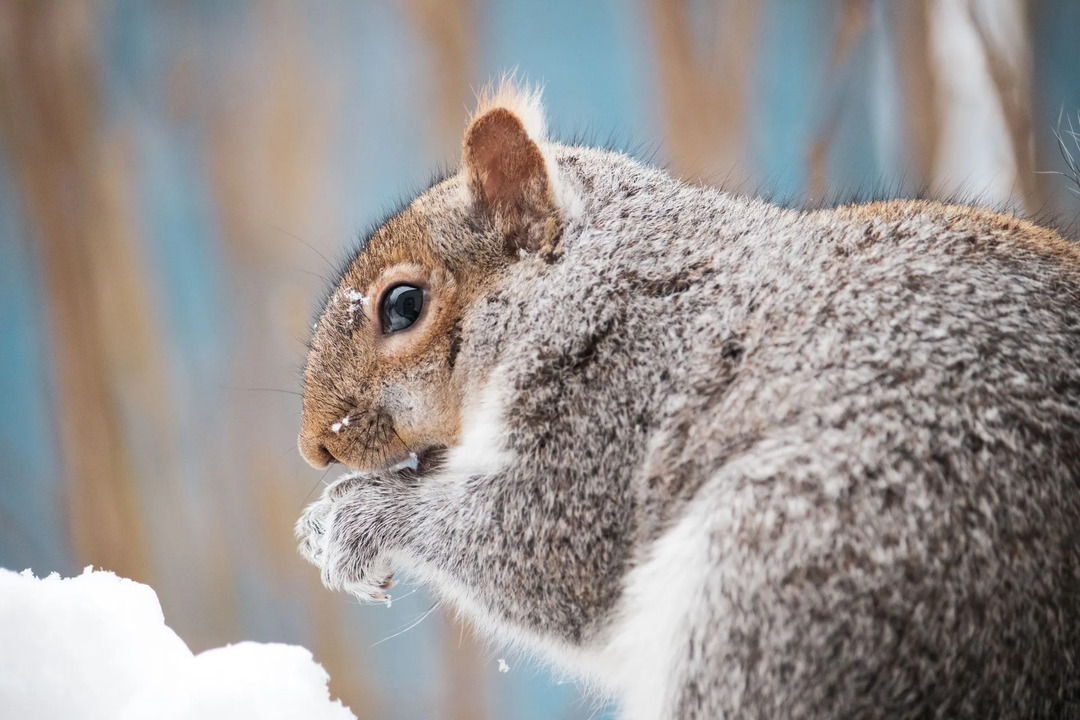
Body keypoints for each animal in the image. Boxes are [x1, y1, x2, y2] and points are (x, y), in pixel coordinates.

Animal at [293, 81, 1080, 716]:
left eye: (402, 305)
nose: (315, 445)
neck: (592, 277)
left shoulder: (619, 399)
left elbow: (541, 554)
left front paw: (355, 516)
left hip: (791, 566)